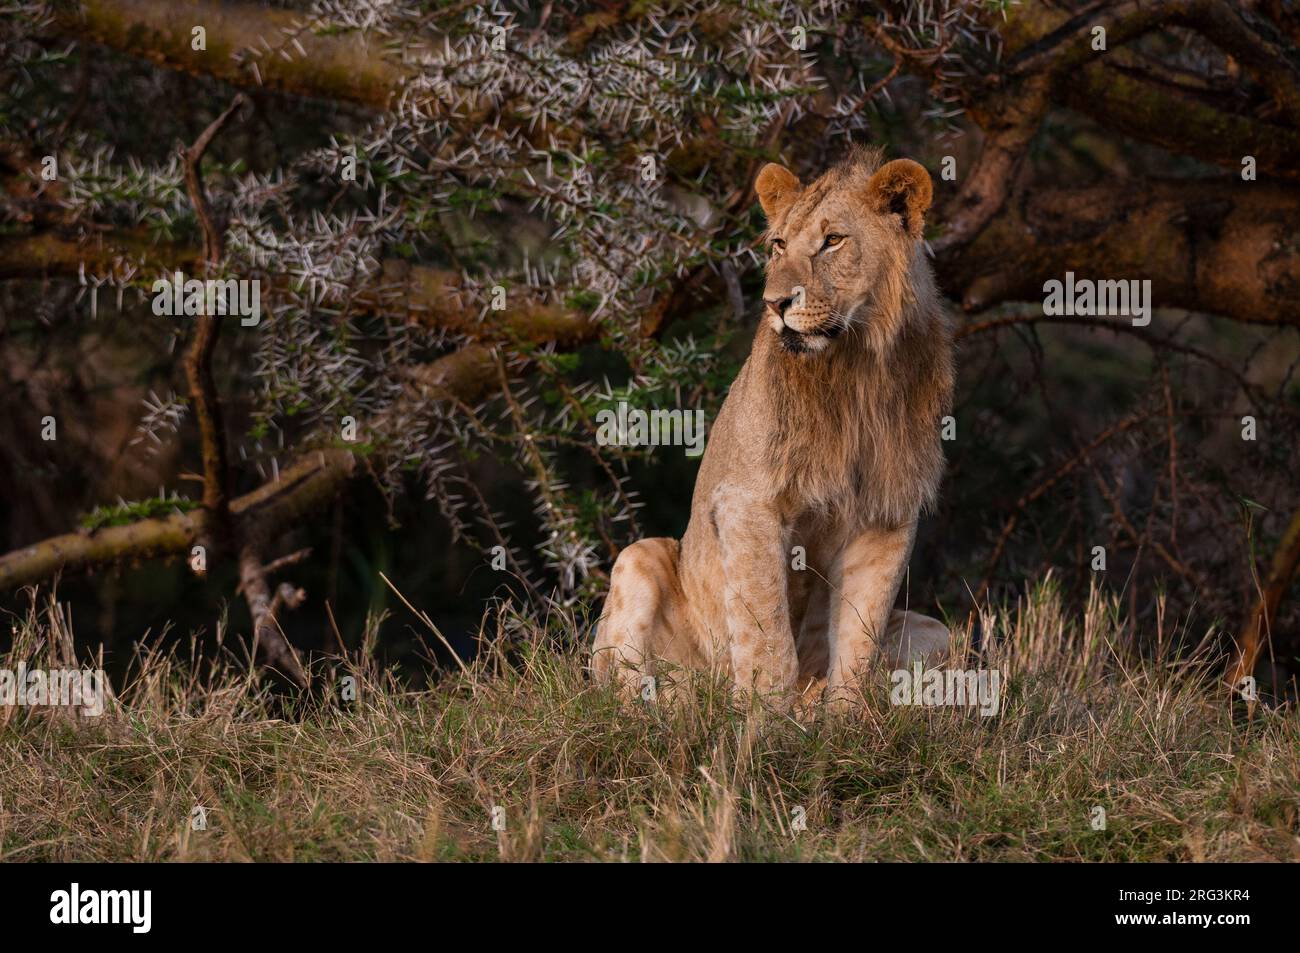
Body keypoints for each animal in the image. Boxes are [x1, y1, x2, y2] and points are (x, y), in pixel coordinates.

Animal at [592, 145, 955, 706]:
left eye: (833, 240)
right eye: (779, 244)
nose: (775, 304)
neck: (857, 367)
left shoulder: (886, 513)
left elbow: (860, 635)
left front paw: (842, 716)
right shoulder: (748, 502)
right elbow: (767, 632)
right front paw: (765, 716)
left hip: (939, 634)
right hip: (640, 559)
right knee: (628, 691)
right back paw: (690, 700)